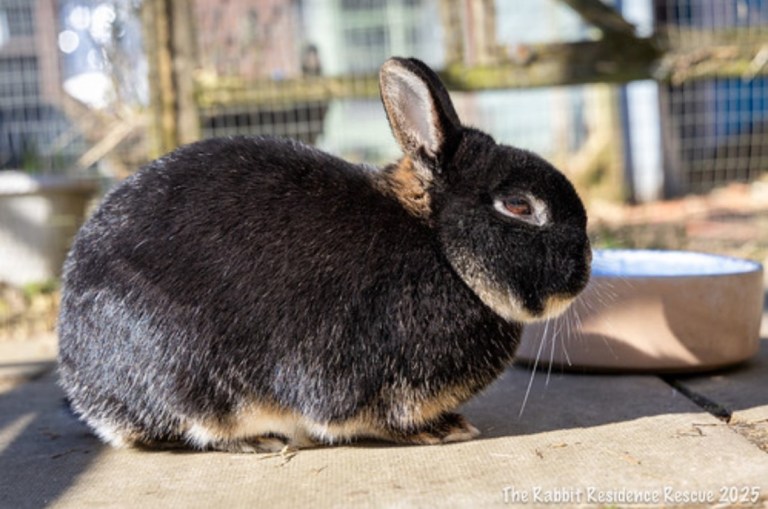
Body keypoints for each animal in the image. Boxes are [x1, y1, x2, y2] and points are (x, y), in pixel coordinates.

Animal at [57, 57, 591, 453]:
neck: (441, 249)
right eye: (518, 206)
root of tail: (80, 379)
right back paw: (259, 441)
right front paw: (444, 429)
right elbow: (375, 419)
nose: (584, 271)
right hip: (190, 373)